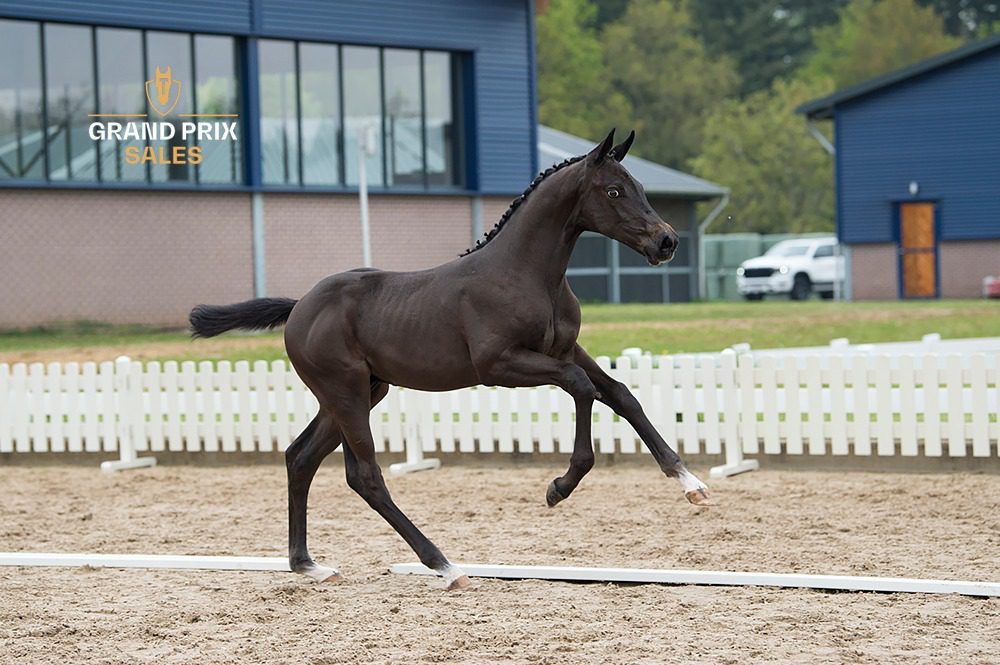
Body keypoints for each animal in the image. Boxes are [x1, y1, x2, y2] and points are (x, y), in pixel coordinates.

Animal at [189, 129, 711, 590]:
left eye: (640, 186)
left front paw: (689, 482)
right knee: (365, 475)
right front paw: (559, 486)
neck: (525, 272)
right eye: (614, 190)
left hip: (359, 392)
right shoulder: (500, 366)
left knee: (300, 458)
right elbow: (580, 387)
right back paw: (444, 566)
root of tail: (299, 306)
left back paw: (308, 566)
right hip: (346, 392)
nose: (666, 242)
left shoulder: (565, 350)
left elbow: (621, 394)